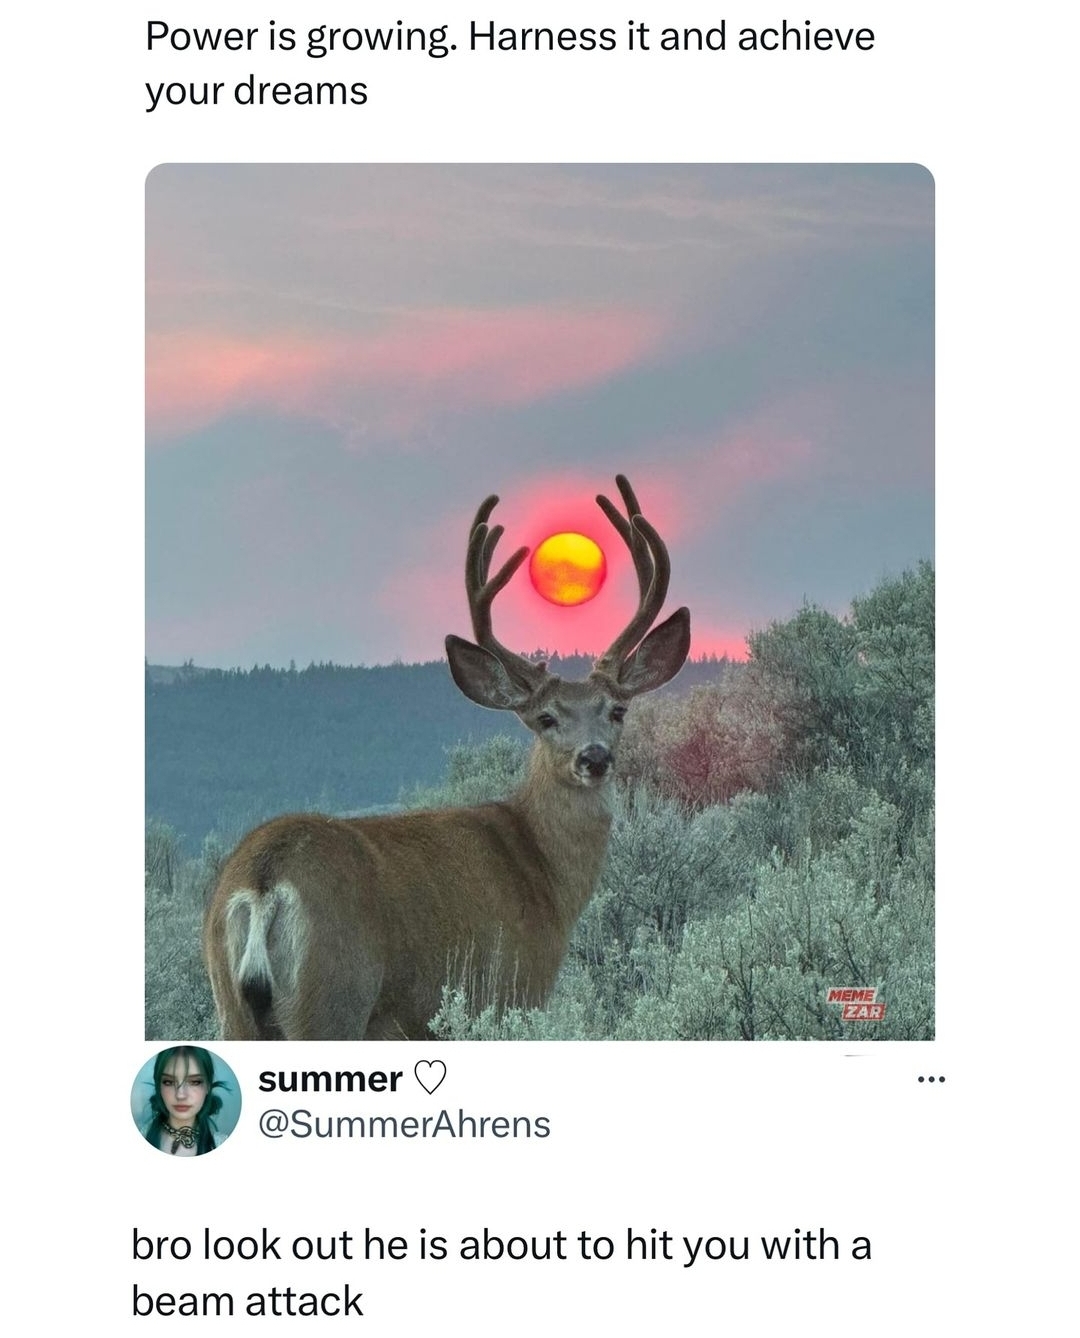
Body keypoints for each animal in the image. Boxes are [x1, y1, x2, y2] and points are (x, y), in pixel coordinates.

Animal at [203, 475, 690, 1040]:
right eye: (545, 718)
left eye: (616, 710)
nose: (593, 758)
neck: (543, 872)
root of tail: (262, 884)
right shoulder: (511, 986)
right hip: (332, 996)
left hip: (233, 1005)